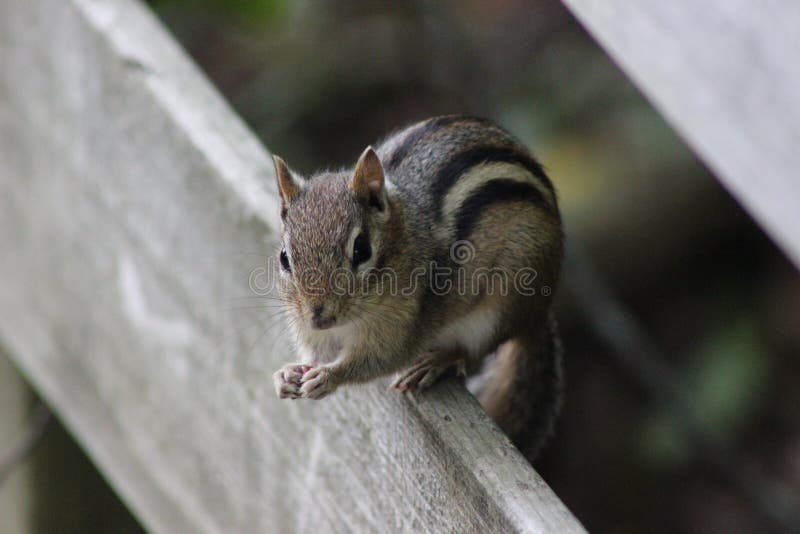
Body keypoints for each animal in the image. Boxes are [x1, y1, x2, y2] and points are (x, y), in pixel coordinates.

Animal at [271, 115, 564, 460]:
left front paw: (329, 376)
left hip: (505, 301)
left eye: (361, 250)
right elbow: (317, 352)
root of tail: (539, 313)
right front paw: (287, 374)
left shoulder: (404, 322)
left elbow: (383, 358)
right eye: (285, 257)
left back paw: (436, 362)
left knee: (473, 350)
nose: (319, 318)